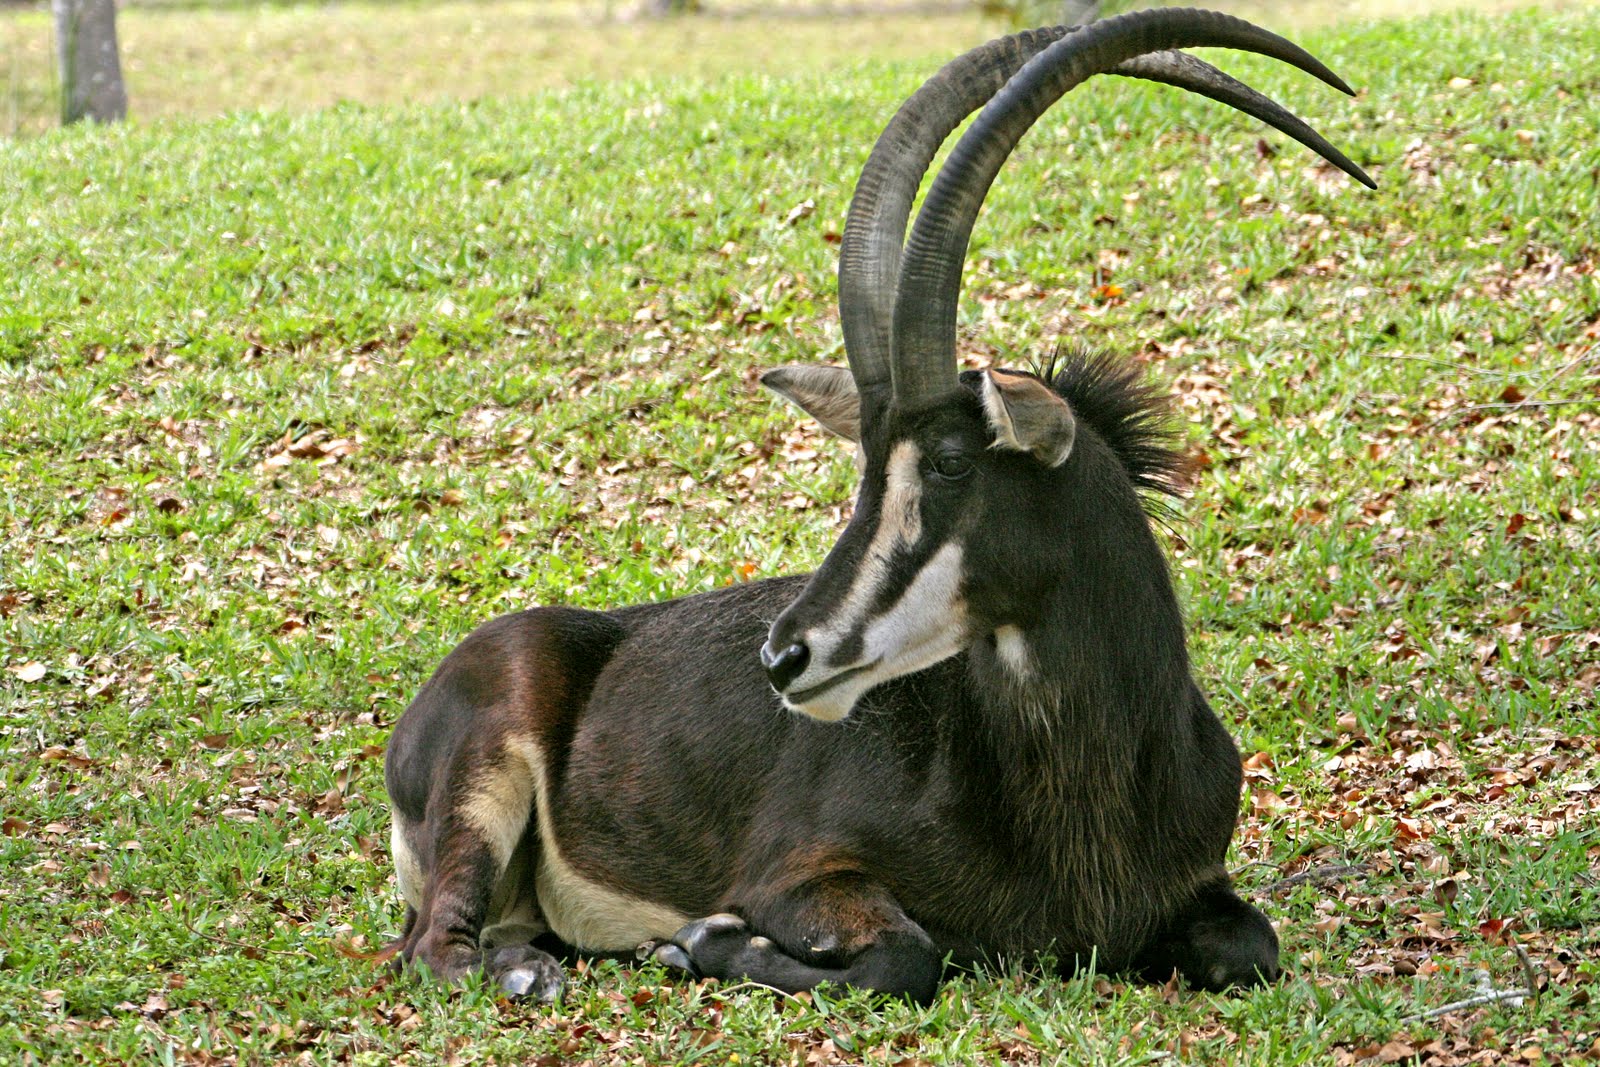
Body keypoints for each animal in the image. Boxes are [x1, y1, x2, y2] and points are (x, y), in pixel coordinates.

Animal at [383, 8, 1373, 1004]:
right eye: (866, 468)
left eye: (948, 460)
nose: (785, 656)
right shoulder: (794, 874)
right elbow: (907, 956)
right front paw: (700, 939)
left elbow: (1250, 945)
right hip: (482, 787)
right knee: (433, 947)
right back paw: (525, 973)